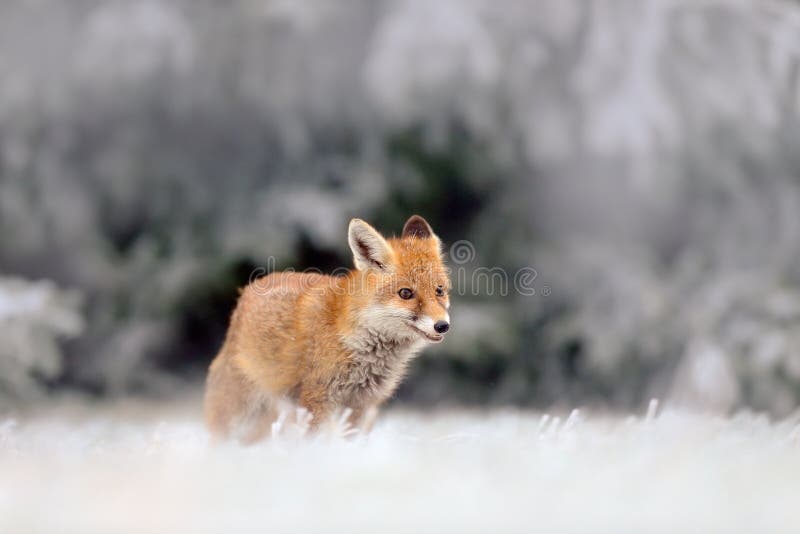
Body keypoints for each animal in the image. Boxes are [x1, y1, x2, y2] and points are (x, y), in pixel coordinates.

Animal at [204, 215, 451, 443]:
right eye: (406, 293)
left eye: (439, 290)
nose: (443, 326)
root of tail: (245, 292)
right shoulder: (317, 398)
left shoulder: (361, 404)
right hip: (239, 412)